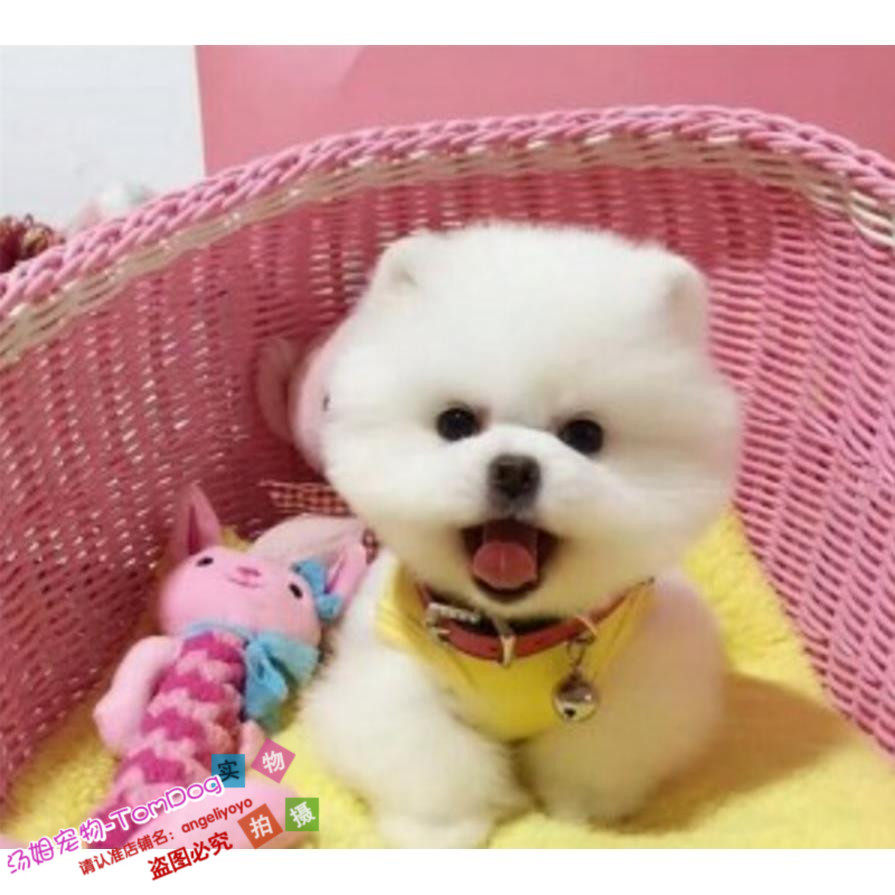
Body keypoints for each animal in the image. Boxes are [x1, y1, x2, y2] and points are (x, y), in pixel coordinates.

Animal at [297, 222, 740, 847]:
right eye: (455, 422)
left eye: (585, 435)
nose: (513, 468)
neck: (509, 636)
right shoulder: (393, 681)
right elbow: (430, 761)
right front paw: (439, 832)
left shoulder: (635, 682)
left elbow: (600, 753)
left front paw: (582, 809)